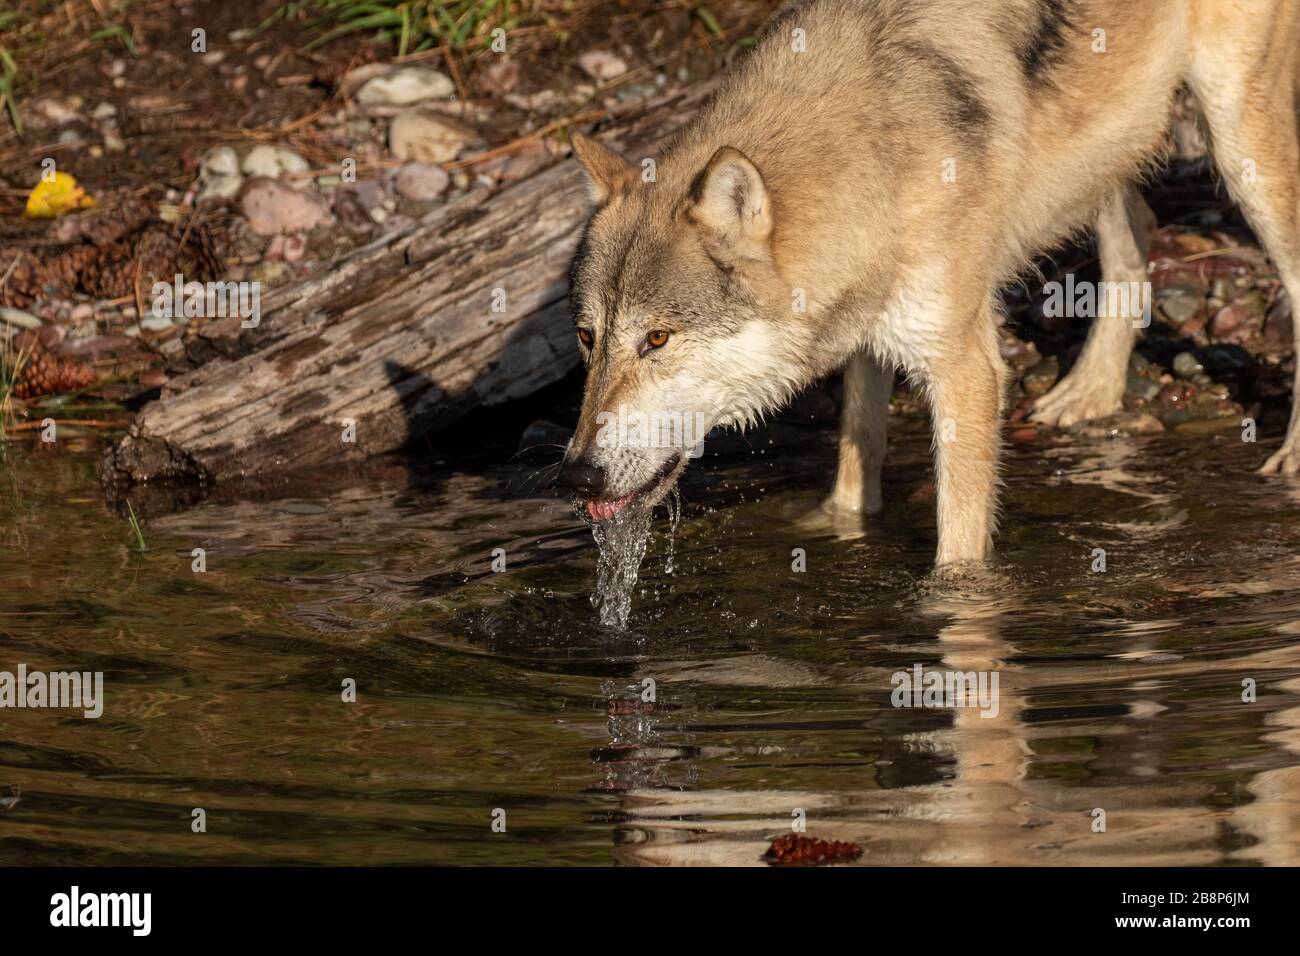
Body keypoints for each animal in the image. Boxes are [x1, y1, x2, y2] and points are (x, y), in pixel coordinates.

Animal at [563, 0, 1300, 565]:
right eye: (587, 338)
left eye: (658, 338)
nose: (576, 472)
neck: (876, 159)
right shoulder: (868, 333)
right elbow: (858, 455)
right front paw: (839, 527)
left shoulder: (965, 370)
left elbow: (959, 554)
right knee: (1139, 233)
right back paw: (1089, 393)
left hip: (1238, 144)